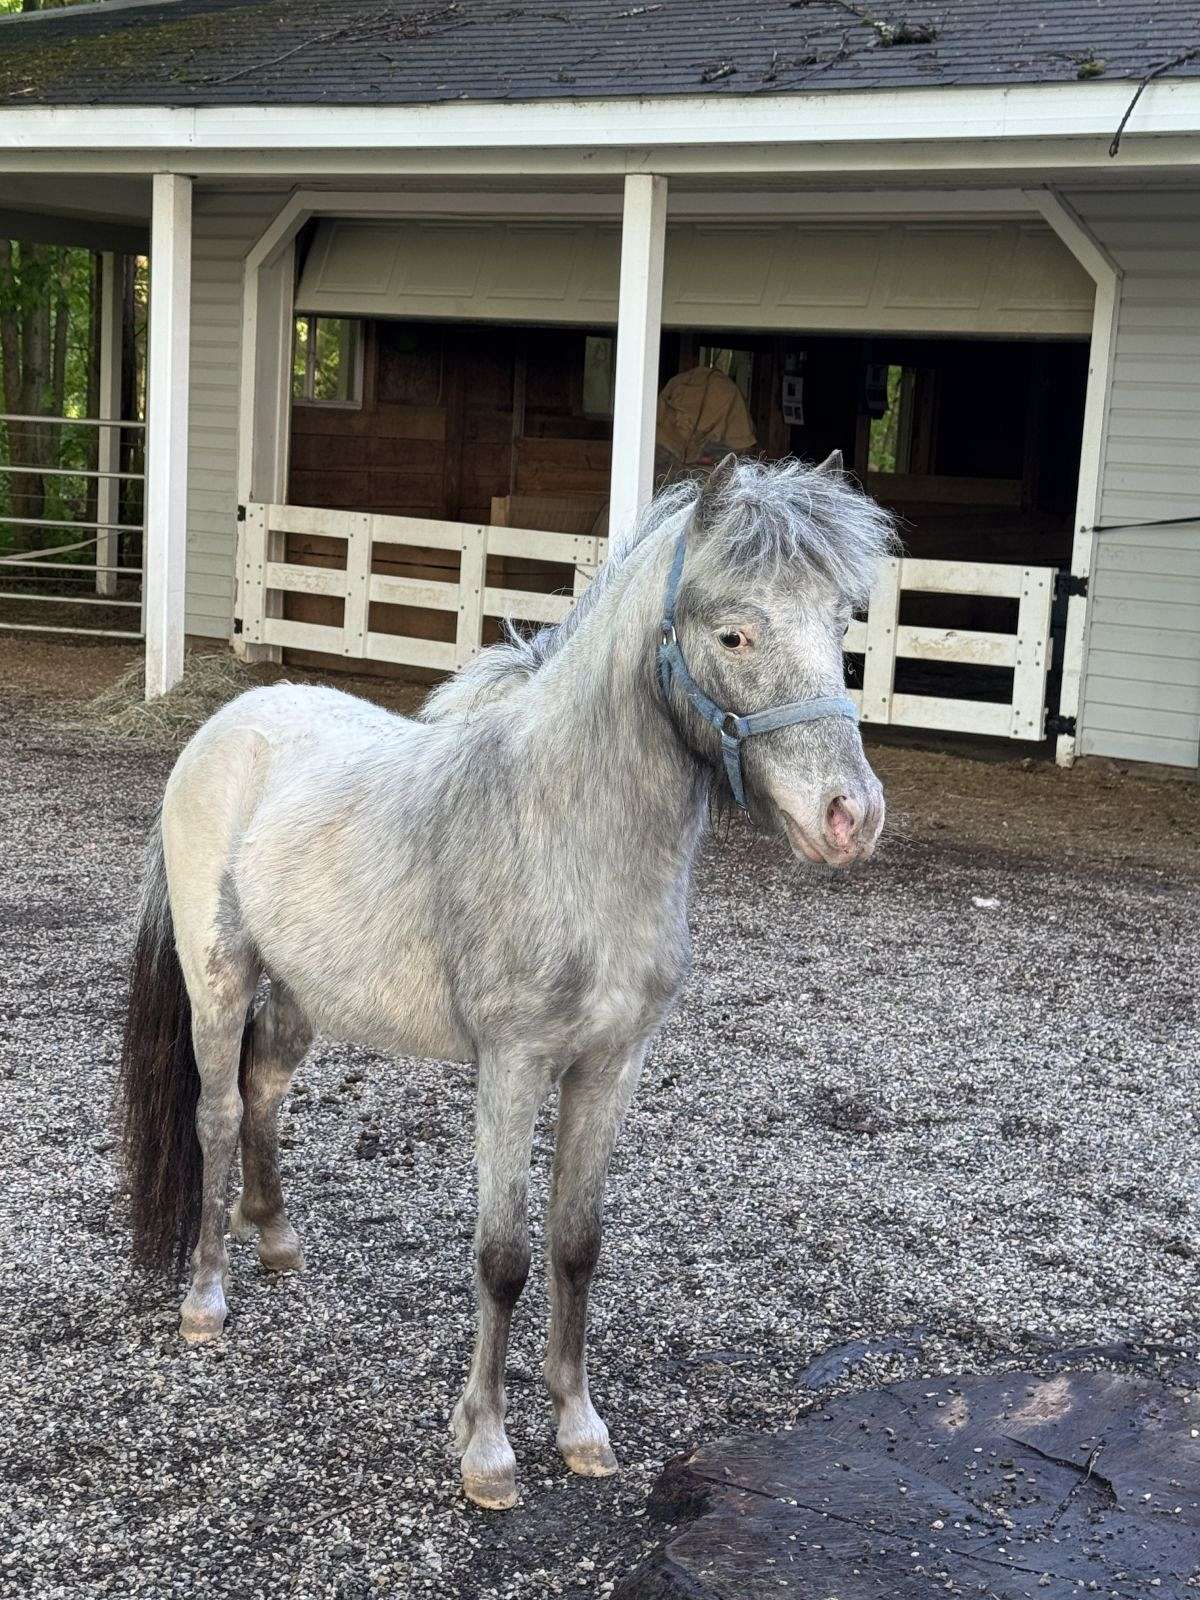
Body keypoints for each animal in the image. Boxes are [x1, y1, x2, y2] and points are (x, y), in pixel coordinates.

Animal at [119, 452, 894, 1511]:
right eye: (733, 631)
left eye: (842, 625)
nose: (849, 817)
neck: (568, 834)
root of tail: (226, 725)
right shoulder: (513, 1067)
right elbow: (503, 1259)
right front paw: (485, 1449)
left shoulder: (610, 1068)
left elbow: (576, 1244)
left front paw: (580, 1429)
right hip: (221, 980)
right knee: (218, 1118)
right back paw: (206, 1300)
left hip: (307, 994)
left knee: (265, 1091)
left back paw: (275, 1243)